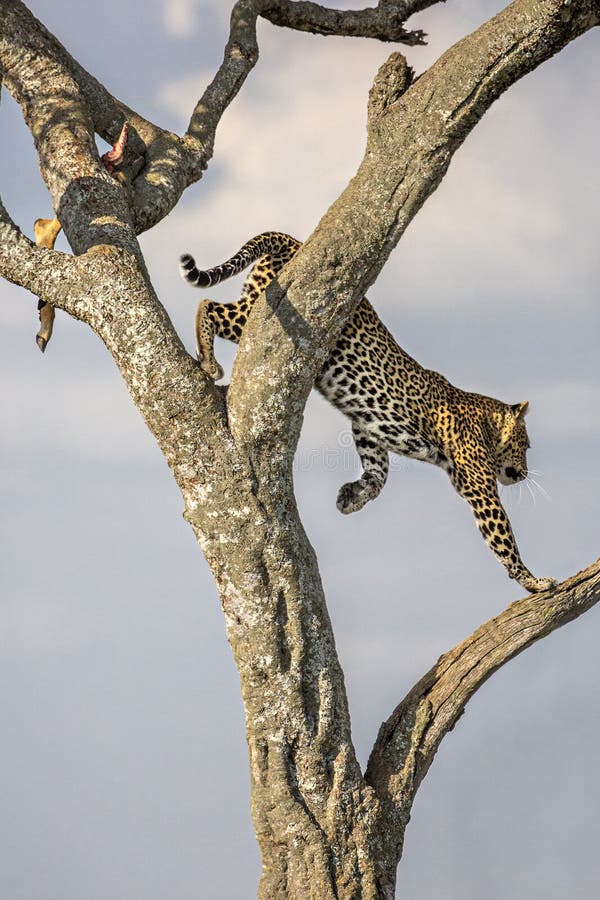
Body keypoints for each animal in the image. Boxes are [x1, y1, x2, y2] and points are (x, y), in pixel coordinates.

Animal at [179, 232, 557, 594]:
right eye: (525, 445)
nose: (524, 473)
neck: (485, 423)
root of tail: (292, 239)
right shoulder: (479, 487)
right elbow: (504, 538)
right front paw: (534, 581)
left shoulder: (369, 428)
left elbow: (379, 474)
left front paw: (351, 496)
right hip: (269, 316)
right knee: (208, 306)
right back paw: (209, 362)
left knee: (214, 307)